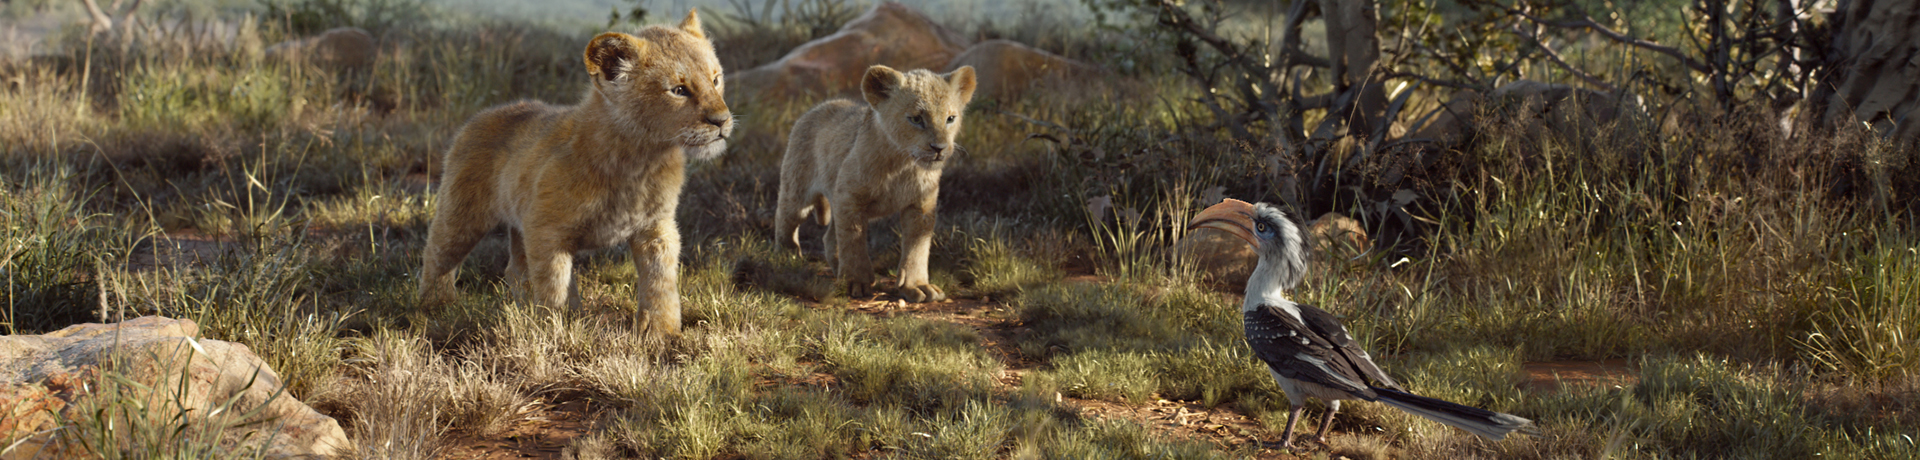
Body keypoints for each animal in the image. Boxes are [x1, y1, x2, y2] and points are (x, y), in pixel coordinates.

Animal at [416, 10, 731, 337]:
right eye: (679, 90)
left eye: (716, 79)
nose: (722, 120)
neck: (641, 160)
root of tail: (481, 116)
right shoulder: (547, 230)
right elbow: (555, 286)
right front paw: (556, 329)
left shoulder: (657, 228)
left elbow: (661, 283)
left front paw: (661, 333)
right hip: (462, 214)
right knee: (438, 254)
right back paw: (435, 306)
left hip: (517, 222)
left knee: (515, 270)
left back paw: (521, 308)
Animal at [774, 65, 976, 302]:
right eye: (916, 119)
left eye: (950, 118)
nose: (939, 148)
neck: (903, 165)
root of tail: (819, 106)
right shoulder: (849, 198)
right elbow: (853, 240)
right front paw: (856, 282)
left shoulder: (921, 205)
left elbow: (918, 247)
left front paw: (917, 286)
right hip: (798, 190)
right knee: (786, 218)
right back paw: (787, 259)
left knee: (829, 238)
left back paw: (837, 269)